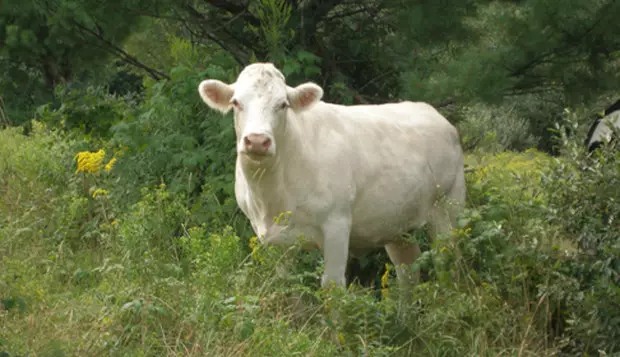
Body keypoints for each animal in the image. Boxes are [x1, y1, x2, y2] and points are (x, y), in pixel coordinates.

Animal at [199, 62, 464, 290]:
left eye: (283, 104)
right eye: (236, 103)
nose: (256, 141)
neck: (272, 196)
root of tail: (434, 113)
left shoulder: (337, 224)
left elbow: (332, 286)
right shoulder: (272, 238)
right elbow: (285, 286)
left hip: (448, 205)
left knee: (448, 261)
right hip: (396, 221)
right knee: (407, 269)